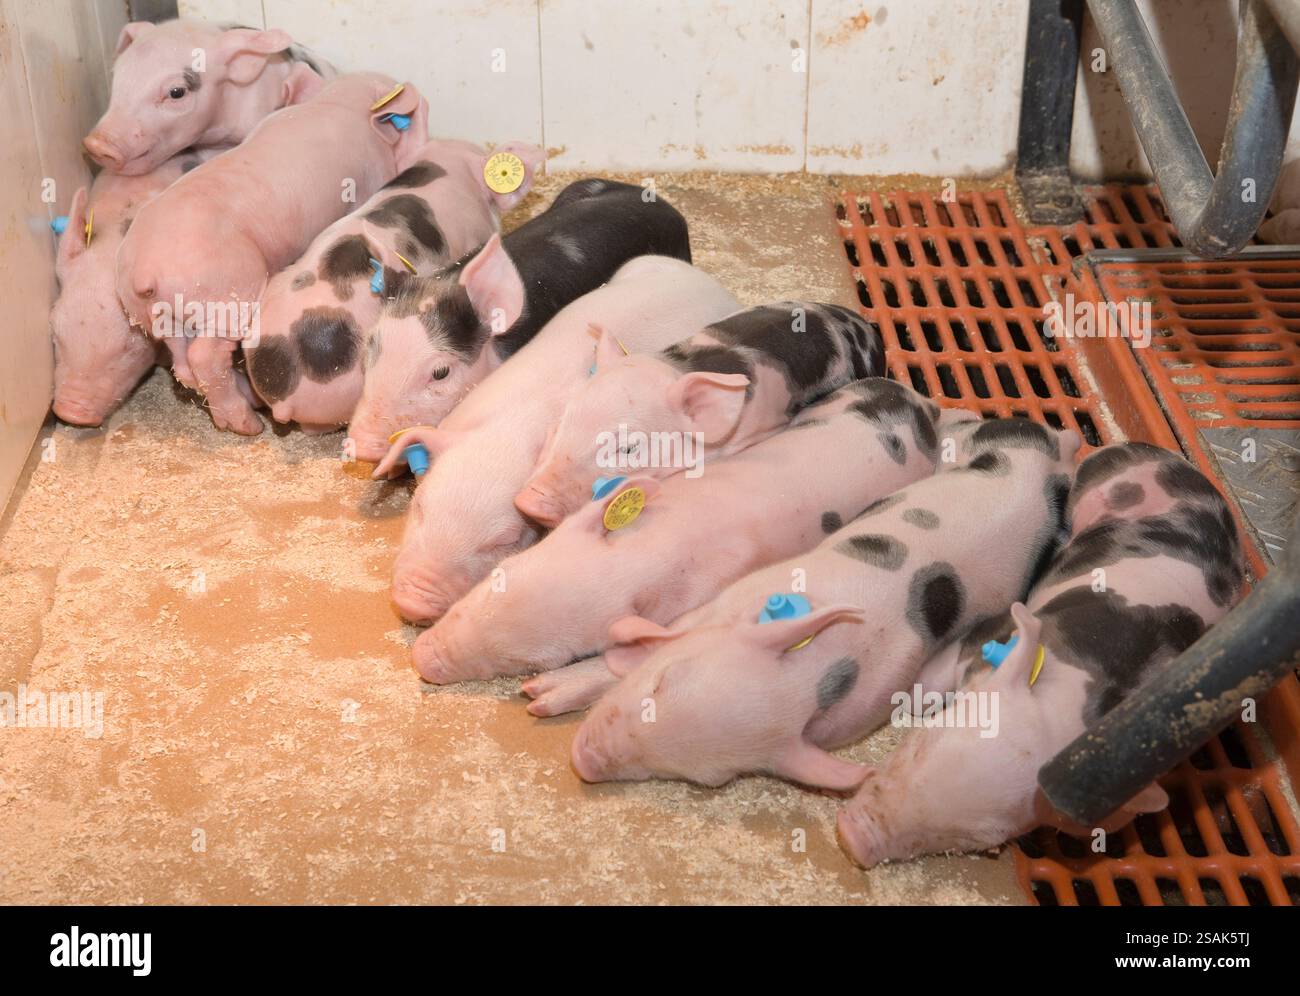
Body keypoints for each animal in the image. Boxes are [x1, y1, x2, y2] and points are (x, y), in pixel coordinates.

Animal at [116, 73, 429, 435]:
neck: (339, 102)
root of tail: (144, 270)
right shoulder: (370, 174)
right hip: (231, 289)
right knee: (204, 356)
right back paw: (248, 426)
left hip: (158, 315)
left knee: (180, 360)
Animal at [417, 379, 941, 686]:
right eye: (496, 580)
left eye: (534, 663)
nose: (422, 659)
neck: (662, 543)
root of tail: (924, 404)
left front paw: (541, 697)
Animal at [569, 417, 1082, 789]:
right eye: (663, 681)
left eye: (699, 776)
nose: (584, 758)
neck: (822, 665)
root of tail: (1056, 449)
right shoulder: (740, 594)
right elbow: (667, 632)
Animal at [836, 443, 1245, 868]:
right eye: (920, 743)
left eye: (976, 837)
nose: (853, 839)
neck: (1066, 695)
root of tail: (1187, 469)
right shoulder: (994, 631)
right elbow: (926, 688)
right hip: (1093, 481)